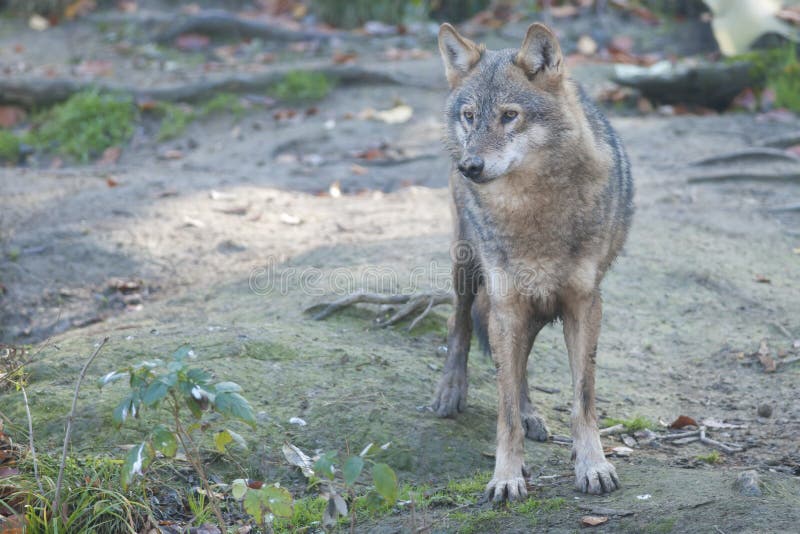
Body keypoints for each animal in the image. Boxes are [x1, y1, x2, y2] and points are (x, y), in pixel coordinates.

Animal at [431, 22, 634, 502]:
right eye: (470, 116)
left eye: (510, 115)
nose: (470, 166)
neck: (532, 213)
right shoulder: (507, 303)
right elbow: (503, 407)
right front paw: (506, 477)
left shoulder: (583, 302)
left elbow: (583, 397)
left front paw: (592, 465)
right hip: (469, 267)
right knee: (461, 323)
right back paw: (451, 391)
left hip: (537, 305)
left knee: (519, 363)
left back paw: (532, 414)